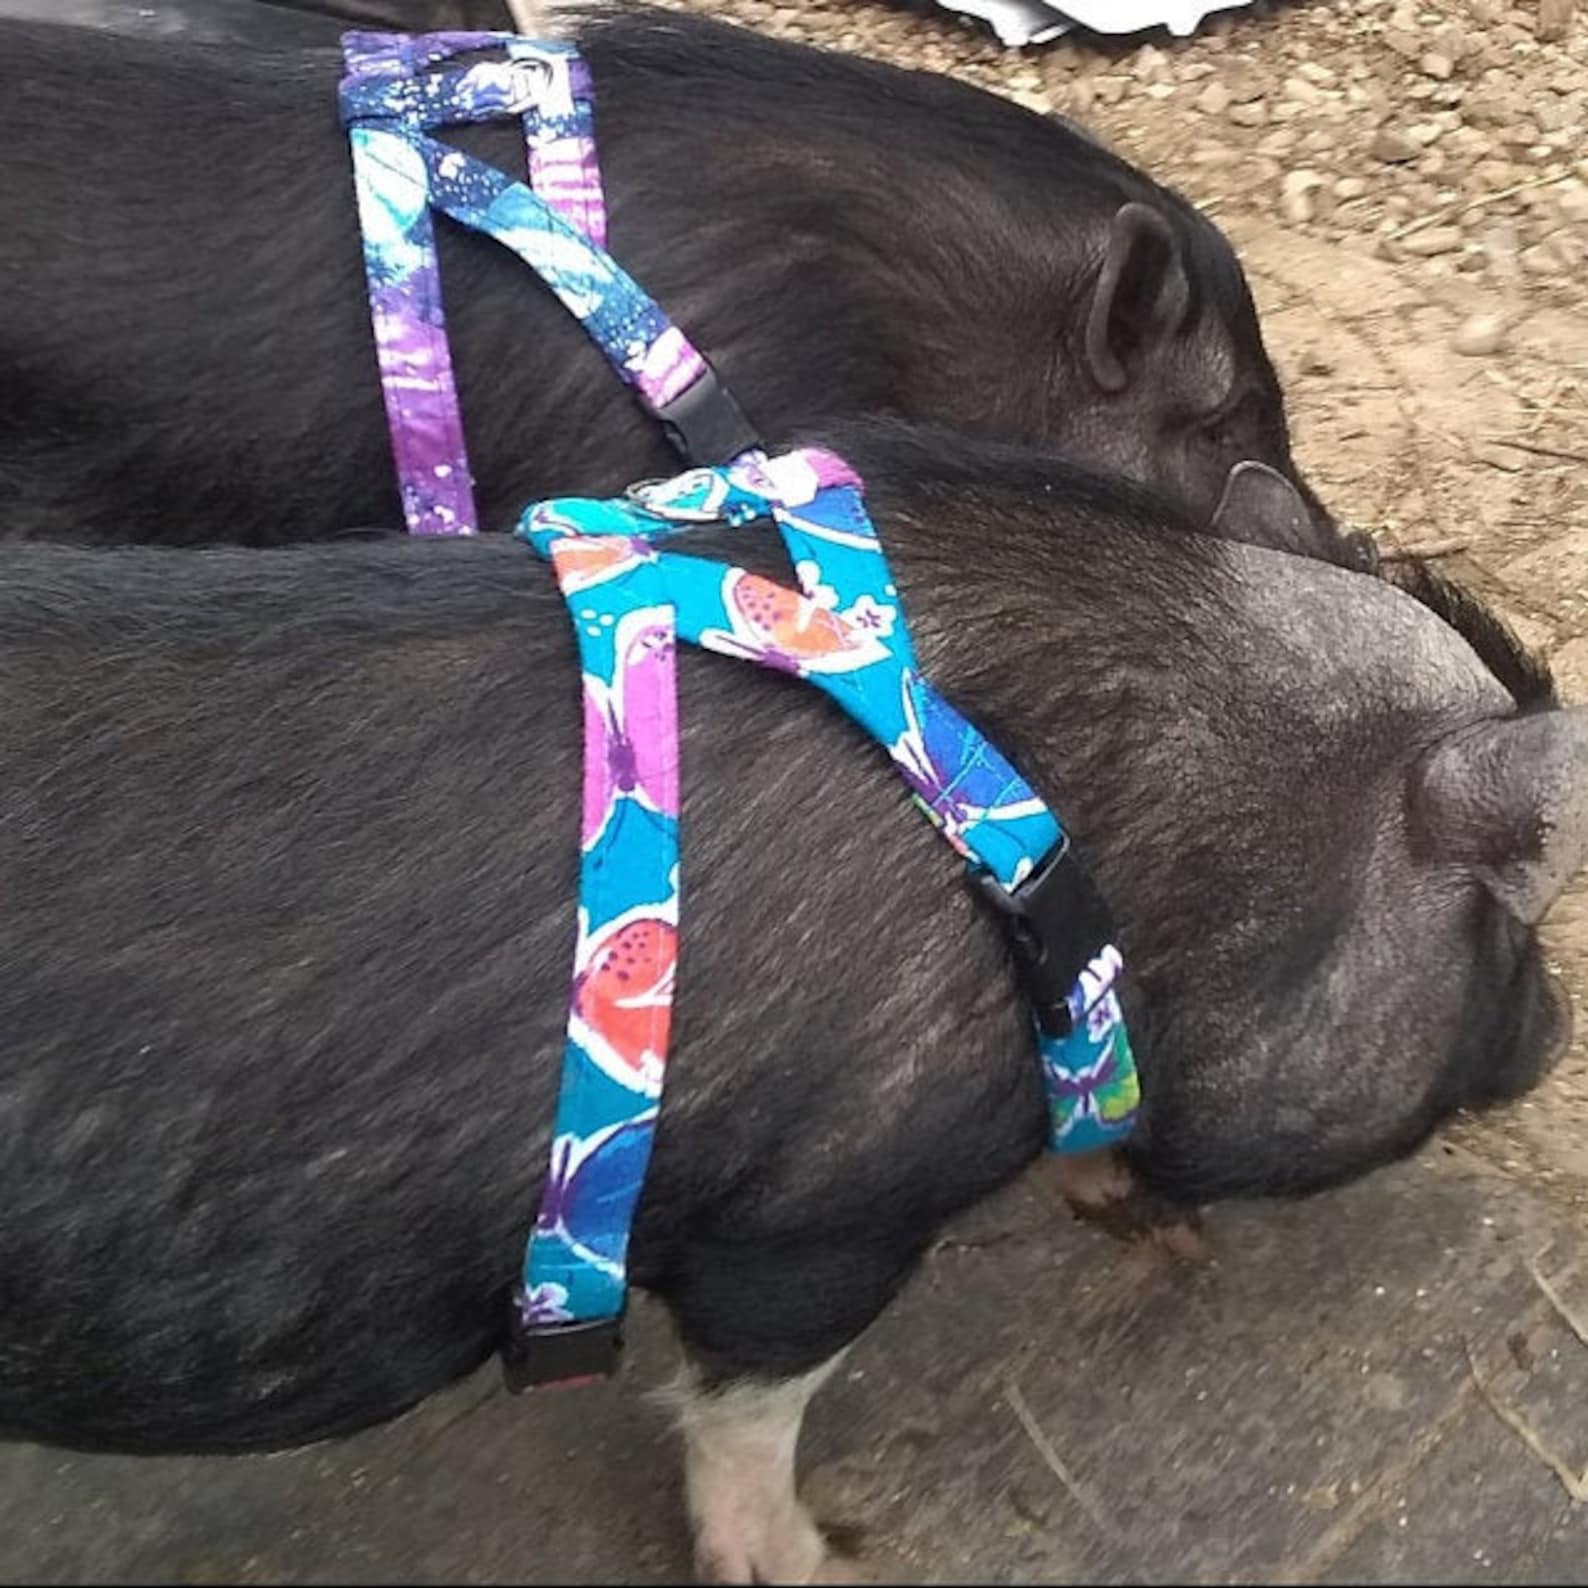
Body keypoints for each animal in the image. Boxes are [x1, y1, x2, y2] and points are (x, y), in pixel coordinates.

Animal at [1, 418, 1579, 1582]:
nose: (1554, 1034)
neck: (1078, 845)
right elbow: (759, 1397)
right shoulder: (814, 1215)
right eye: (1506, 924)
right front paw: (816, 1561)